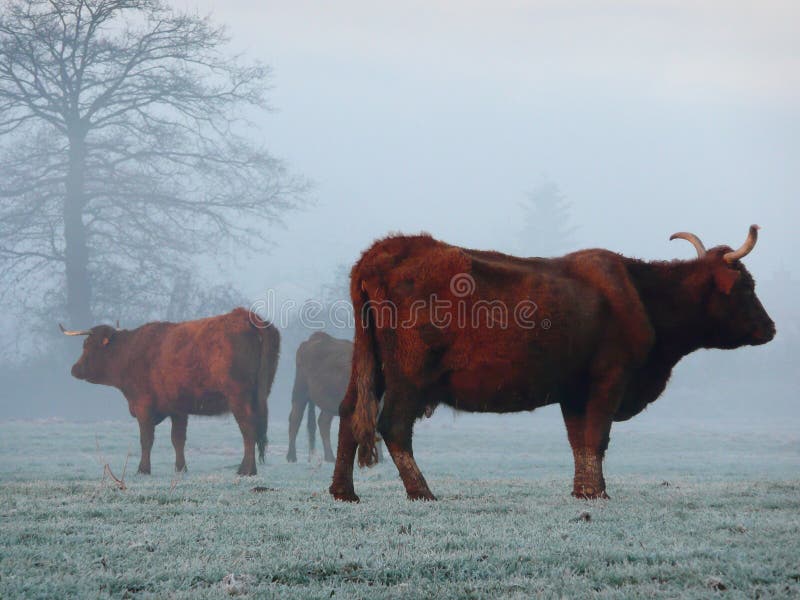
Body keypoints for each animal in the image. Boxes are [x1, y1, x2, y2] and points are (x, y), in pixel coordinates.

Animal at [61, 308, 280, 476]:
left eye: (87, 345)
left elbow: (146, 439)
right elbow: (178, 440)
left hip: (239, 398)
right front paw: (181, 469)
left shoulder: (143, 406)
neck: (128, 351)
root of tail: (244, 315)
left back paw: (246, 470)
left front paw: (143, 469)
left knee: (248, 430)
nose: (74, 369)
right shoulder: (178, 409)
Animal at [287, 332, 384, 463]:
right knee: (295, 419)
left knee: (323, 423)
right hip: (300, 391)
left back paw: (330, 457)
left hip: (329, 403)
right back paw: (291, 456)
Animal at [329, 226, 775, 502]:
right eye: (747, 285)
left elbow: (579, 441)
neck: (641, 293)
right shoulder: (609, 379)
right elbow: (597, 437)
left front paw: (583, 490)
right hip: (409, 376)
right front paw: (597, 494)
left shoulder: (573, 391)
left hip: (369, 366)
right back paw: (422, 492)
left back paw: (343, 492)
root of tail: (381, 252)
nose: (770, 328)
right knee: (392, 425)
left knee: (349, 413)